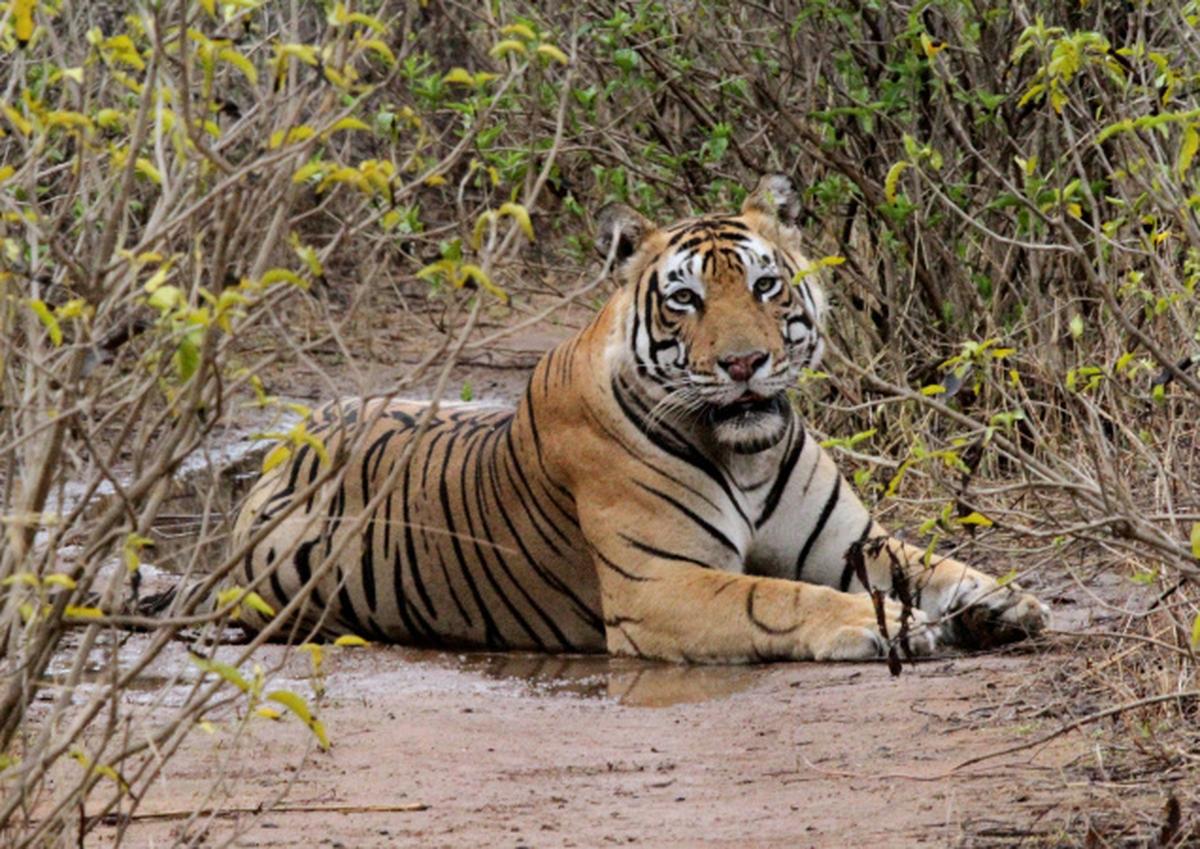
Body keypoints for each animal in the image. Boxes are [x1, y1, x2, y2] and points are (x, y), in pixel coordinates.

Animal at [228, 174, 1049, 663]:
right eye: (685, 298)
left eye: (766, 285)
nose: (744, 363)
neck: (747, 457)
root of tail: (282, 447)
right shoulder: (658, 584)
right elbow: (775, 596)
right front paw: (886, 625)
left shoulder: (849, 542)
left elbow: (934, 561)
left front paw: (1005, 601)